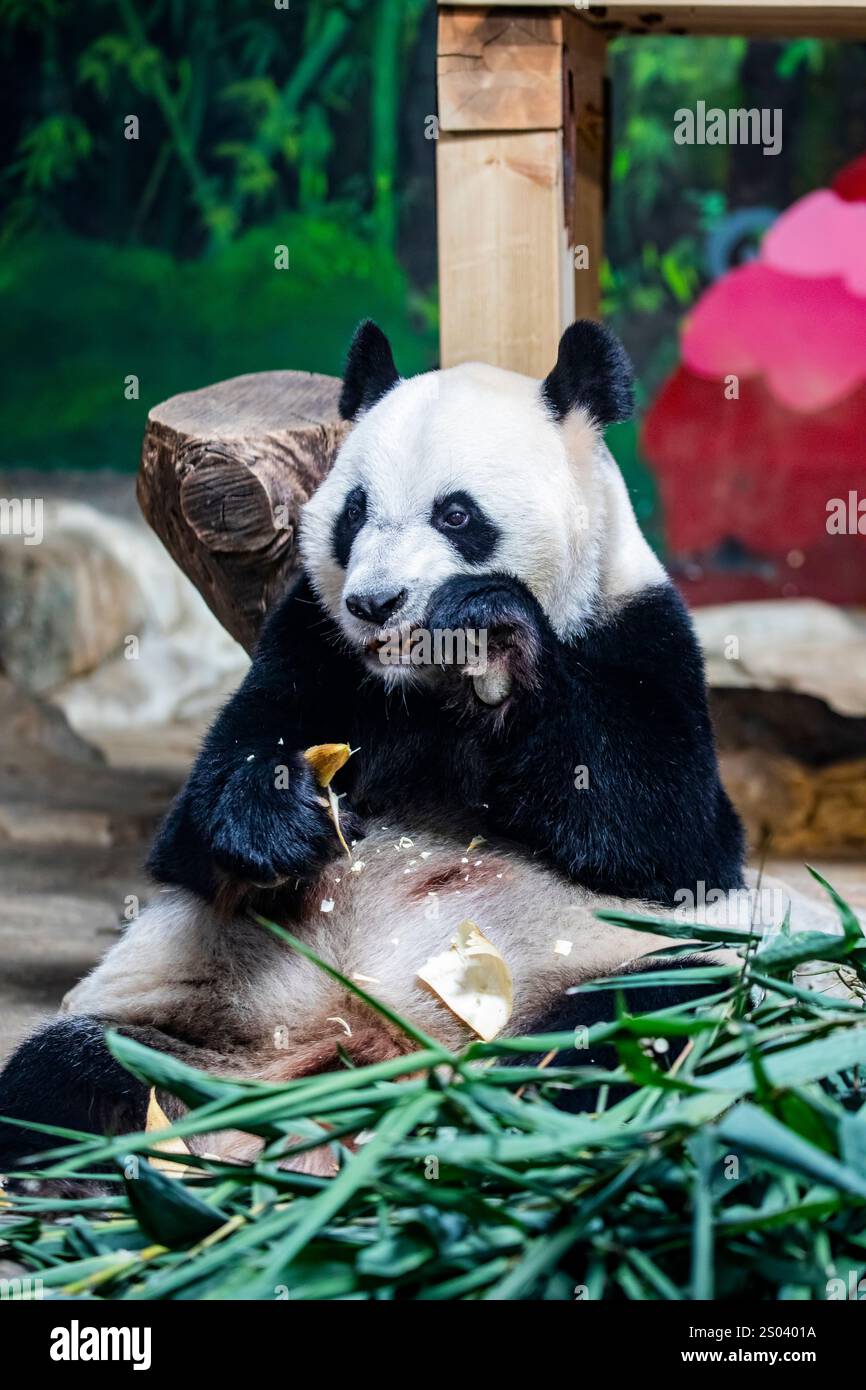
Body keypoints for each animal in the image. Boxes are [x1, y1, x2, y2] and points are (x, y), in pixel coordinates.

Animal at [0, 318, 749, 1176]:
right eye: (354, 511)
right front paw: (282, 820)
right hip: (193, 1020)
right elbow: (196, 827)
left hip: (580, 973)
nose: (375, 602)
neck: (425, 688)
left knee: (645, 1019)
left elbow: (668, 833)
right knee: (71, 1069)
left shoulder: (639, 633)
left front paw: (498, 628)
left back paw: (487, 1126)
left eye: (456, 515)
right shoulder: (310, 641)